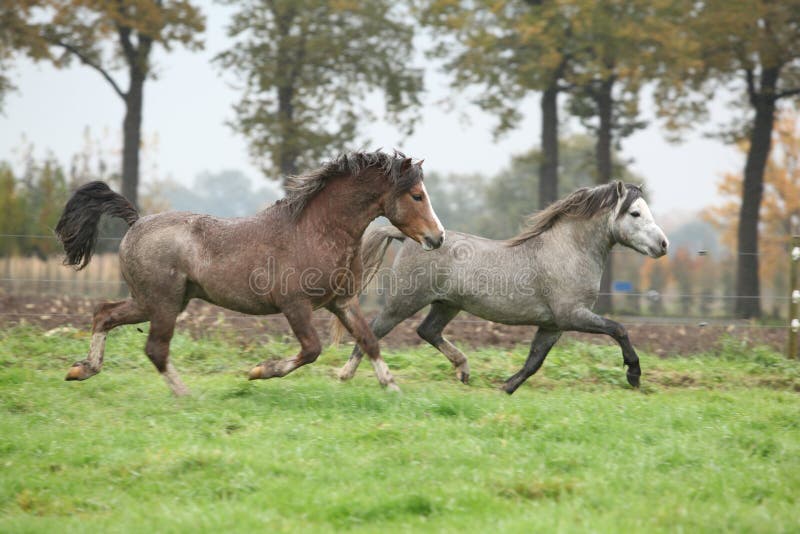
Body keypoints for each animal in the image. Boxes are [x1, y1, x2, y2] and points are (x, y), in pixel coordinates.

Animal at [55, 150, 445, 396]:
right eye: (416, 195)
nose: (437, 237)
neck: (316, 231)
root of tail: (137, 222)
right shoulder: (295, 305)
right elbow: (312, 349)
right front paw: (259, 371)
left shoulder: (343, 302)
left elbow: (369, 340)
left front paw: (392, 388)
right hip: (162, 303)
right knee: (155, 349)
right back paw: (186, 395)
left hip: (152, 301)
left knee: (103, 314)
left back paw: (81, 369)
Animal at [335, 181, 668, 393]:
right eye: (635, 213)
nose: (663, 245)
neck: (568, 250)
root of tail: (411, 237)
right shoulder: (573, 315)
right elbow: (618, 329)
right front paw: (634, 375)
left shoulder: (553, 325)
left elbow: (534, 360)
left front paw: (506, 388)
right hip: (404, 302)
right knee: (373, 331)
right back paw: (346, 375)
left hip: (447, 305)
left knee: (427, 331)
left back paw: (464, 370)